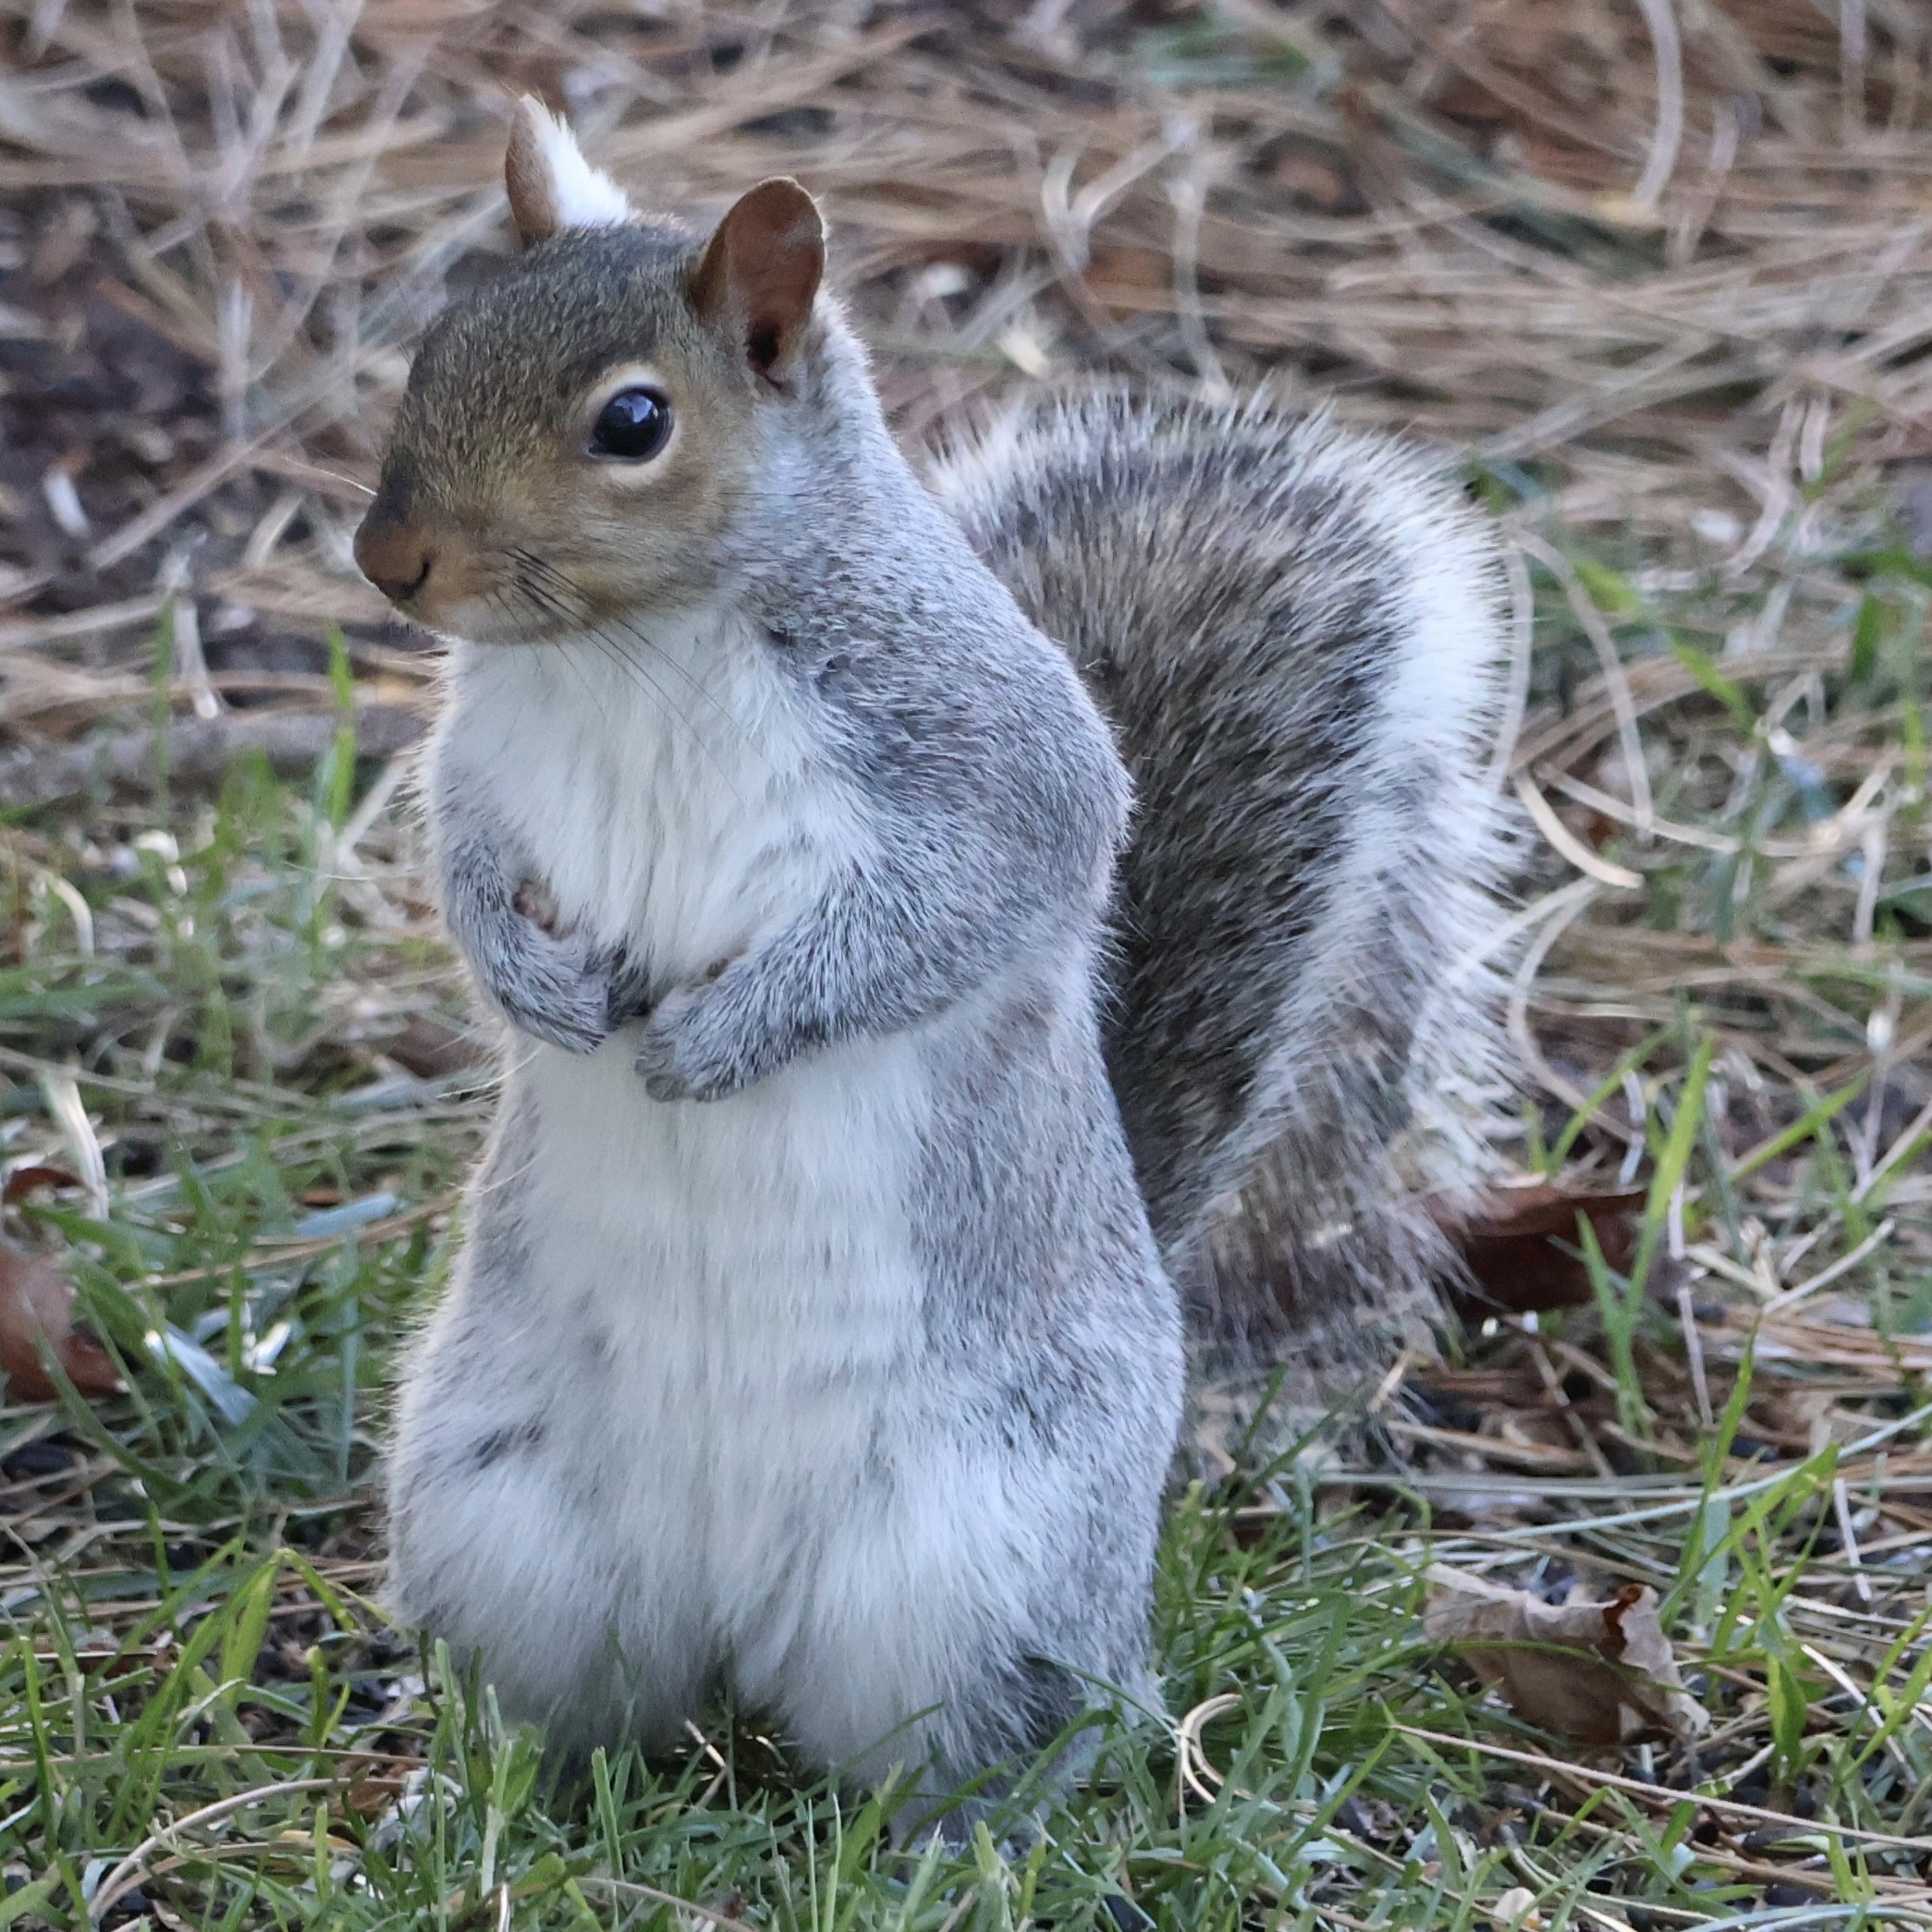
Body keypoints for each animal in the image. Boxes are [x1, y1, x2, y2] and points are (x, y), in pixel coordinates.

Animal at [353, 101, 1512, 1818]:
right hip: (499, 1511)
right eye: (436, 345)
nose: (391, 557)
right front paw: (533, 987)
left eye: (631, 422)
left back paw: (963, 1836)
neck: (633, 651)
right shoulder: (484, 765)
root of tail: (733, 1620)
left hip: (978, 1559)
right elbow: (467, 876)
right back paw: (484, 1795)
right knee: (576, 1713)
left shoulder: (988, 765)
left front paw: (730, 1036)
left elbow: (944, 915)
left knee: (974, 1741)